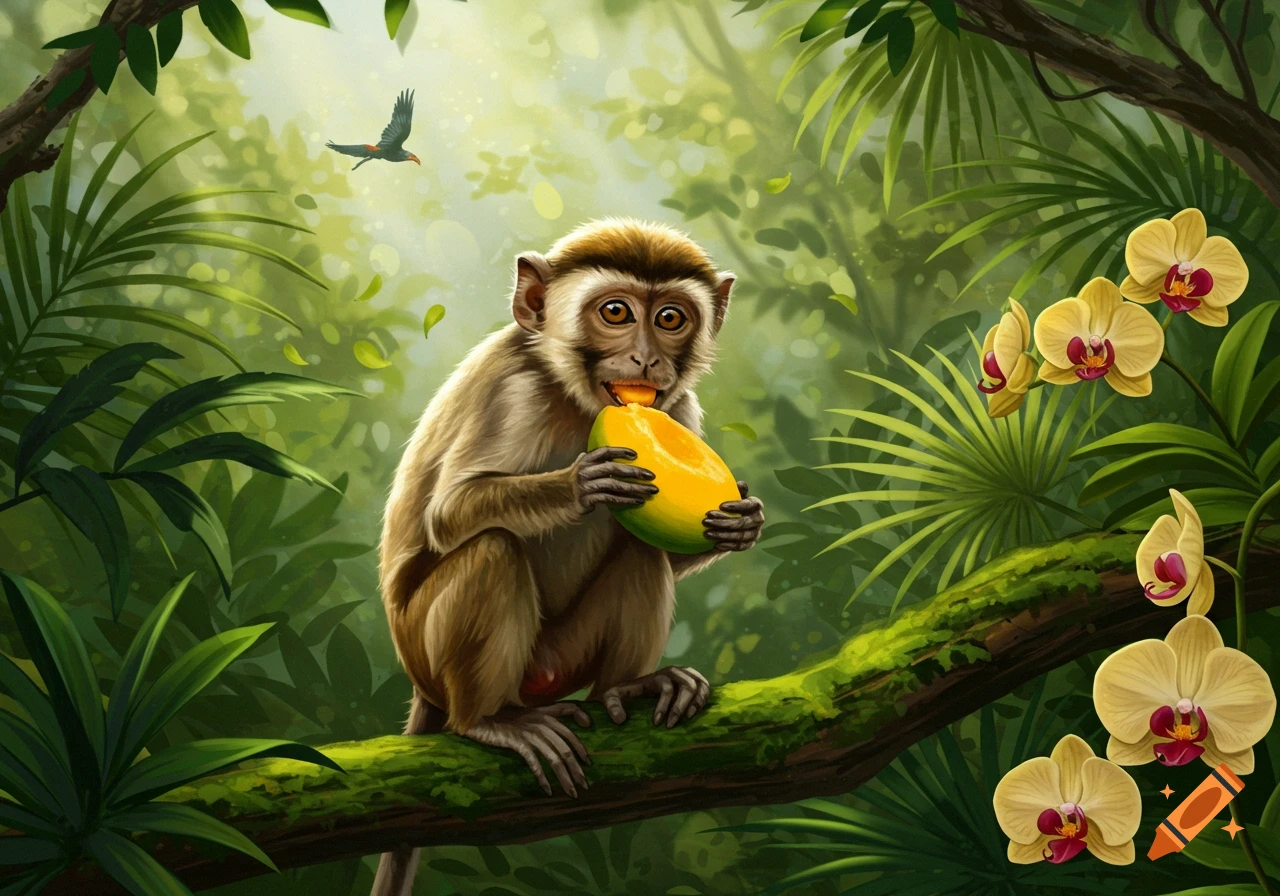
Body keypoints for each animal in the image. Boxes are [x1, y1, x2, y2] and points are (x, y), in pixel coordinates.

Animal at [370, 219, 765, 896]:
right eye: (615, 312)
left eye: (670, 318)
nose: (647, 359)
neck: (576, 397)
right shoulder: (514, 394)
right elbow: (448, 516)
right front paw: (582, 486)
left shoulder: (676, 407)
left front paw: (740, 524)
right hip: (429, 648)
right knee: (492, 550)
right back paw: (487, 721)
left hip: (561, 659)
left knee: (638, 554)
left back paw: (629, 688)